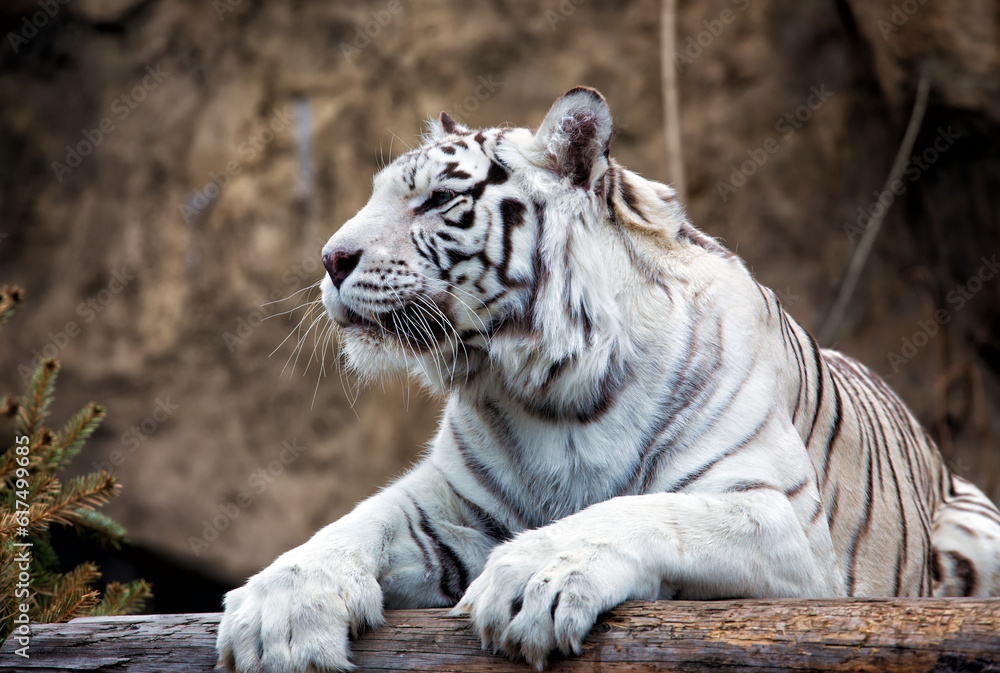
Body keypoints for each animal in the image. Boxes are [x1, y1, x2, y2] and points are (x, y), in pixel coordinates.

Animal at [217, 87, 1000, 673]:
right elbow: (357, 522)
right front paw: (274, 611)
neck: (547, 391)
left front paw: (530, 579)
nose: (330, 258)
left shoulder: (788, 525)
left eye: (440, 199)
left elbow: (646, 510)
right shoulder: (448, 503)